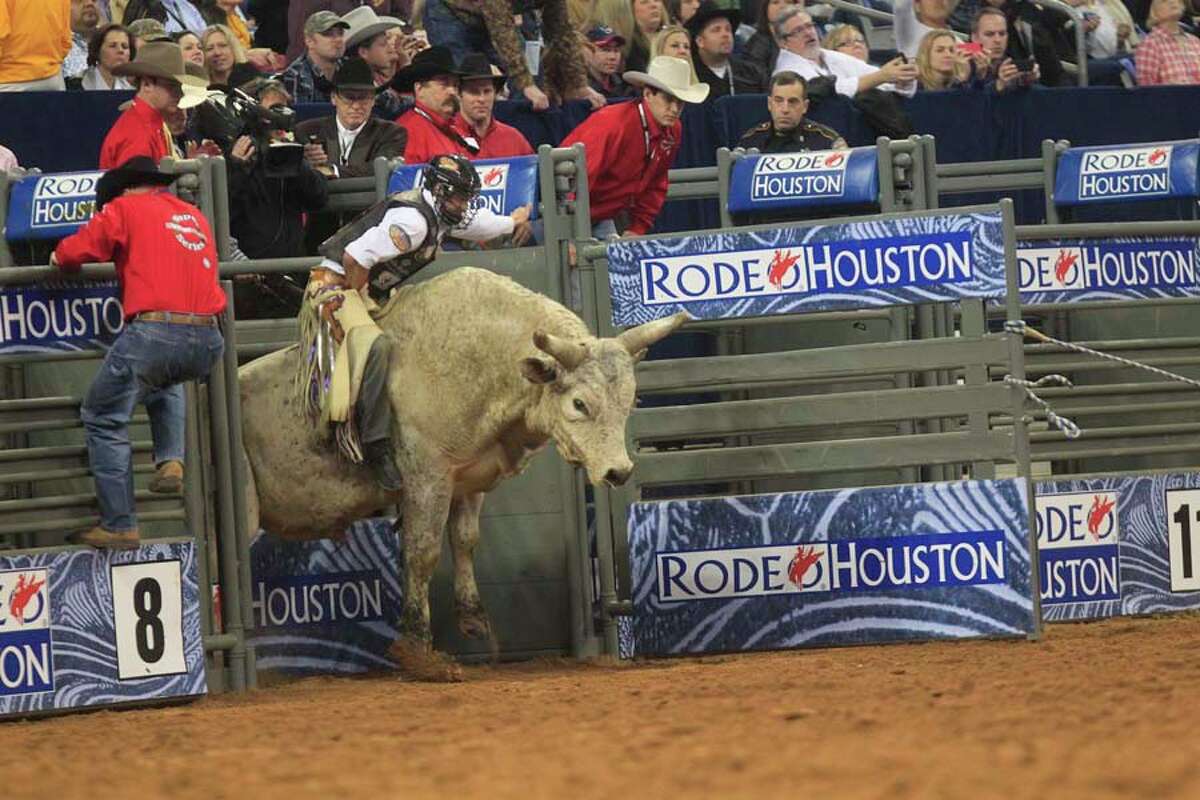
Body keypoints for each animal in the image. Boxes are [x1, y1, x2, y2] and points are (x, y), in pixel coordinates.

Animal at [239, 267, 687, 680]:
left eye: (630, 400)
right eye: (579, 403)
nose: (618, 471)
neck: (479, 358)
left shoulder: (468, 479)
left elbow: (466, 539)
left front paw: (473, 618)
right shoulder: (426, 478)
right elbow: (422, 552)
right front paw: (419, 653)